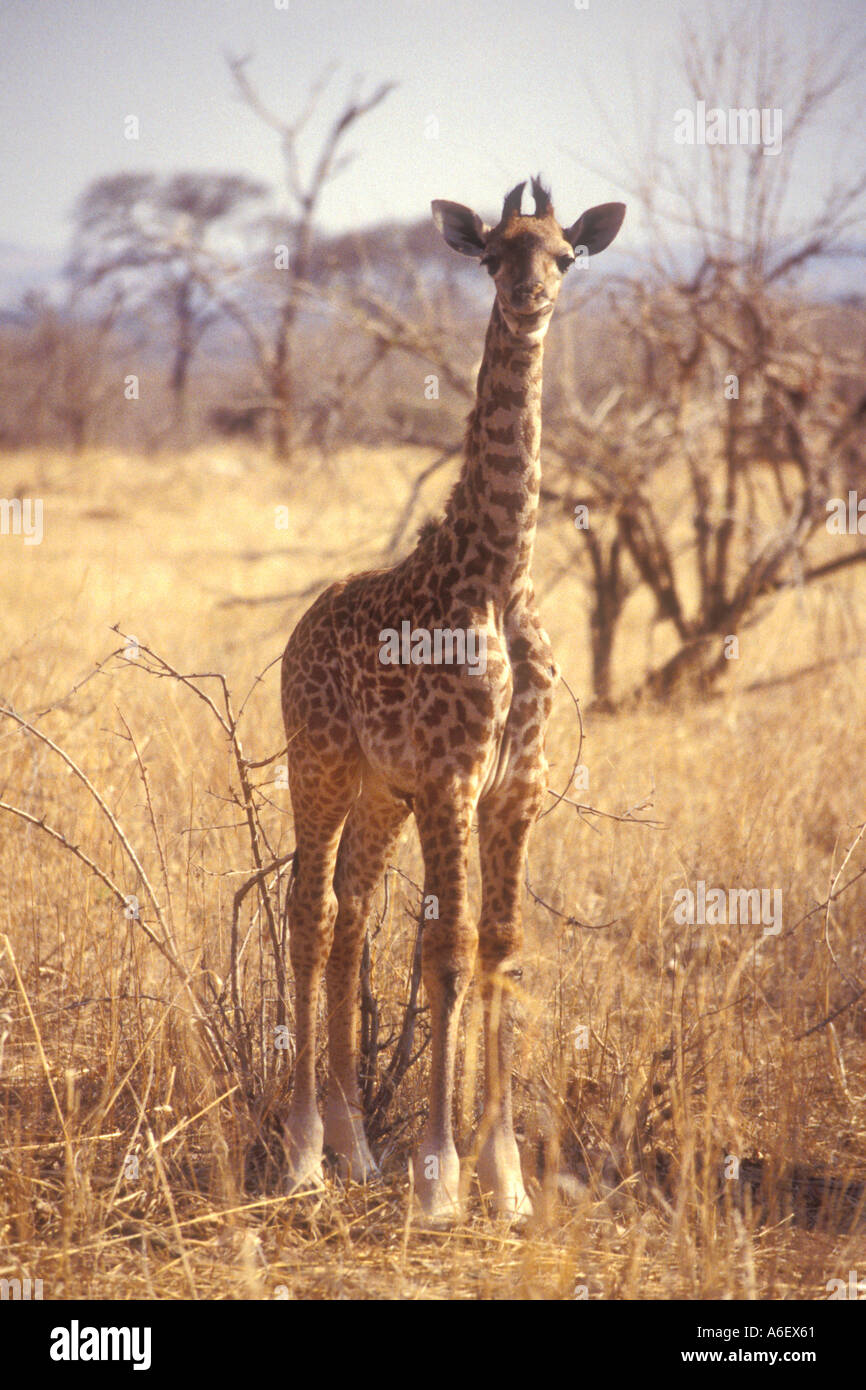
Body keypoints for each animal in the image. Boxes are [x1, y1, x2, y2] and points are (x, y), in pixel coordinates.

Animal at [280, 177, 625, 1220]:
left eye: (565, 255)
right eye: (493, 254)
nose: (531, 300)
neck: (502, 576)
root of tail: (299, 628)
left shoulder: (513, 787)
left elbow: (499, 945)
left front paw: (502, 1181)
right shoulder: (450, 780)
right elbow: (447, 946)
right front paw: (439, 1183)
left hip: (378, 790)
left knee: (353, 914)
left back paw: (355, 1149)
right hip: (319, 762)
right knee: (310, 914)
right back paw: (303, 1155)